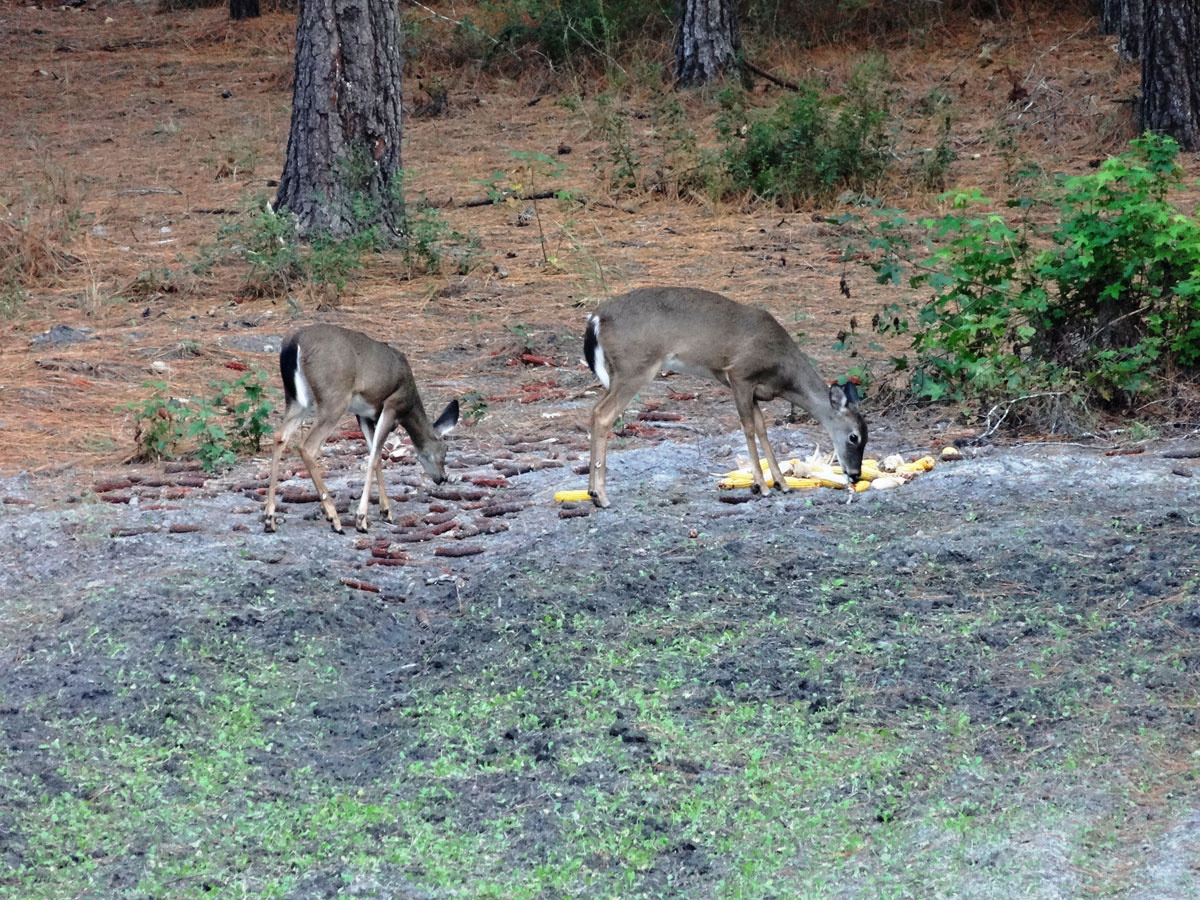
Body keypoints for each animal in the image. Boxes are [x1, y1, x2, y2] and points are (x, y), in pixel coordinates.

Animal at [263, 324, 459, 534]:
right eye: (445, 449)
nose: (442, 478)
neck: (409, 404)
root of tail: (293, 343)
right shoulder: (392, 404)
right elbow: (374, 456)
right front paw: (362, 518)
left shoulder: (363, 415)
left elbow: (377, 455)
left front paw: (386, 510)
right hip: (334, 398)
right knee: (307, 446)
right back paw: (334, 518)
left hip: (296, 398)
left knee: (280, 435)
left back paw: (269, 518)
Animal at [582, 287, 867, 508]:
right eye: (854, 437)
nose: (855, 475)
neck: (782, 371)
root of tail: (596, 318)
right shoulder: (740, 375)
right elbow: (749, 427)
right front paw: (762, 486)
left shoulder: (752, 389)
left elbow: (762, 428)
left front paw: (782, 483)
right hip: (636, 366)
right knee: (603, 414)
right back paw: (601, 496)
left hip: (618, 372)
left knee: (595, 410)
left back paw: (592, 492)